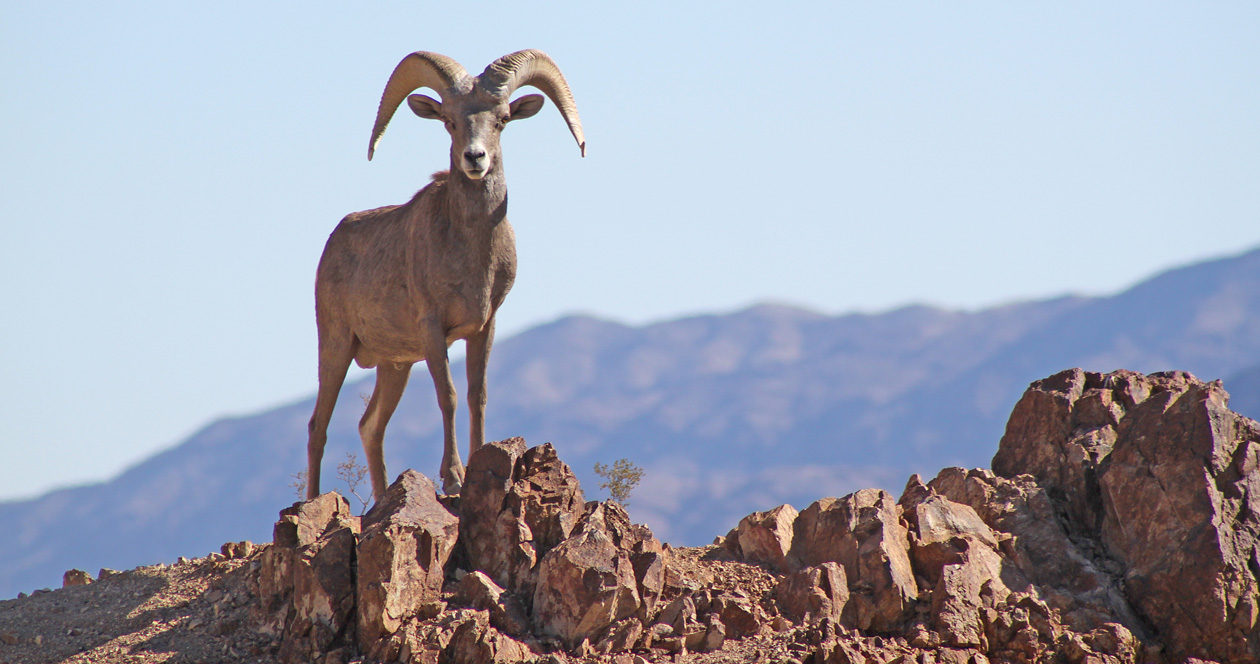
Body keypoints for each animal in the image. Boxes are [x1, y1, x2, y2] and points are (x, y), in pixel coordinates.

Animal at [305, 49, 585, 500]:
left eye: (502, 119)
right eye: (449, 121)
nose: (475, 159)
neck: (472, 256)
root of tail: (334, 240)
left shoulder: (484, 327)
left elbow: (476, 396)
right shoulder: (434, 329)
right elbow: (449, 396)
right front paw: (453, 478)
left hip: (394, 366)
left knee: (371, 427)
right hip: (336, 346)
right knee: (319, 427)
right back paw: (311, 500)